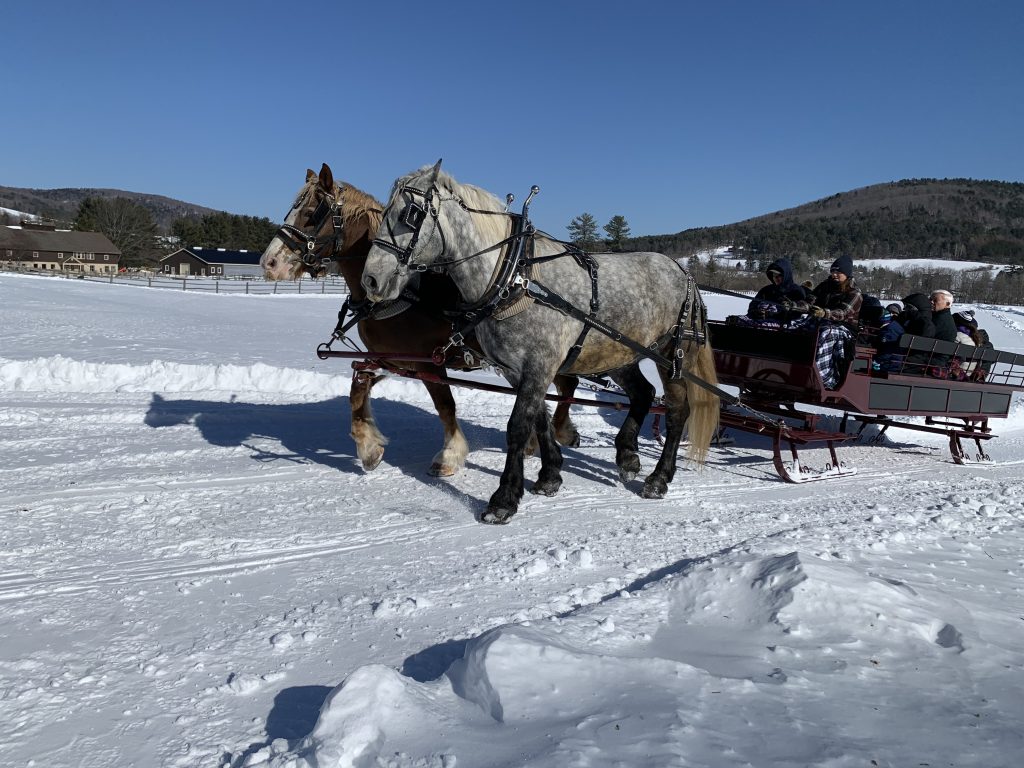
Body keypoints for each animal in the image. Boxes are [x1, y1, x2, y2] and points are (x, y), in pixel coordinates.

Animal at [259, 164, 580, 476]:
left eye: (312, 213)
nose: (268, 263)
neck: (404, 294)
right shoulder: (392, 358)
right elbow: (357, 389)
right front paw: (368, 447)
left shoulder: (428, 361)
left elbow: (445, 405)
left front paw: (449, 455)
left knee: (568, 384)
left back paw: (560, 432)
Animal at [361, 162, 720, 523]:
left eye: (410, 213)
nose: (371, 280)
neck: (513, 276)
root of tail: (683, 273)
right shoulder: (516, 370)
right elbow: (540, 418)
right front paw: (550, 476)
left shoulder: (539, 364)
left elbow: (519, 426)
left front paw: (504, 499)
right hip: (618, 353)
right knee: (643, 394)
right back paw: (628, 456)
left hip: (672, 356)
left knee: (677, 410)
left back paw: (658, 478)